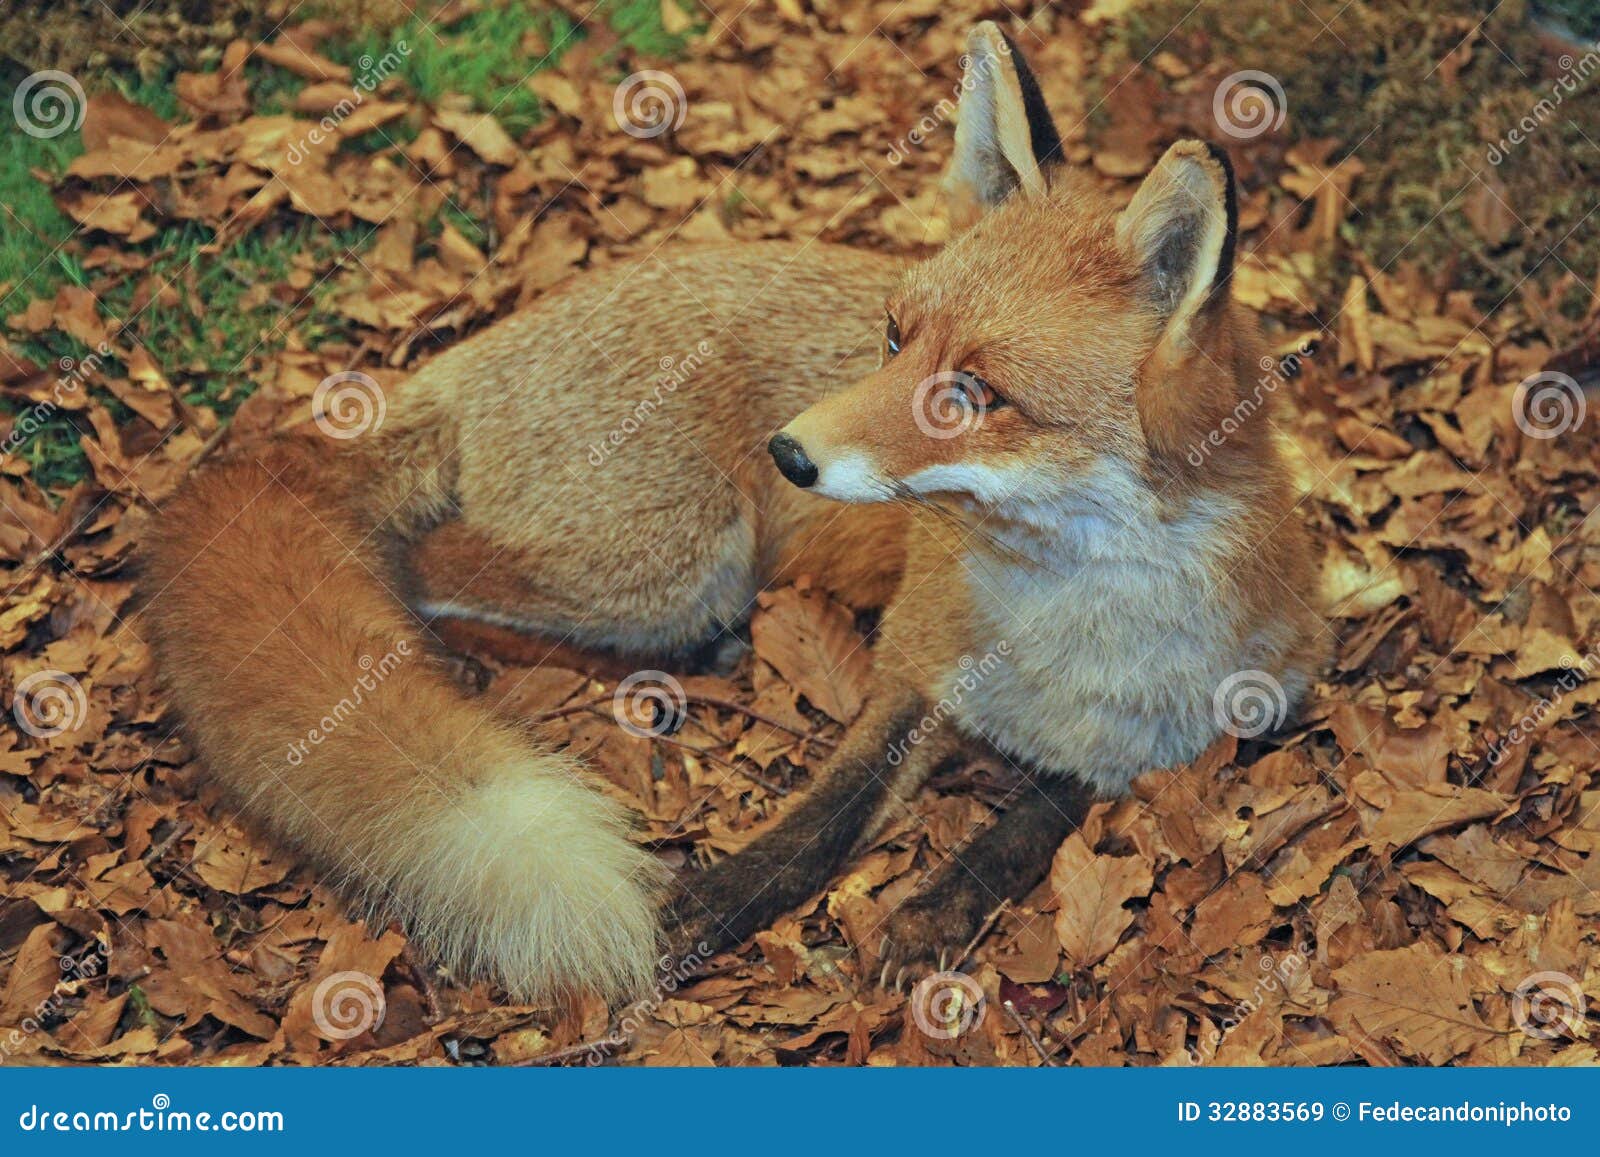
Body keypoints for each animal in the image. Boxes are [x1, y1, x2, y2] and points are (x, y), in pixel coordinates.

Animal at [139, 23, 1322, 1005]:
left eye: (972, 393)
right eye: (894, 338)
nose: (788, 452)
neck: (1063, 634)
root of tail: (463, 361)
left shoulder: (1146, 752)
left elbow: (1013, 837)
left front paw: (928, 916)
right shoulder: (909, 672)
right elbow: (818, 821)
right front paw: (711, 903)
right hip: (677, 565)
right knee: (424, 573)